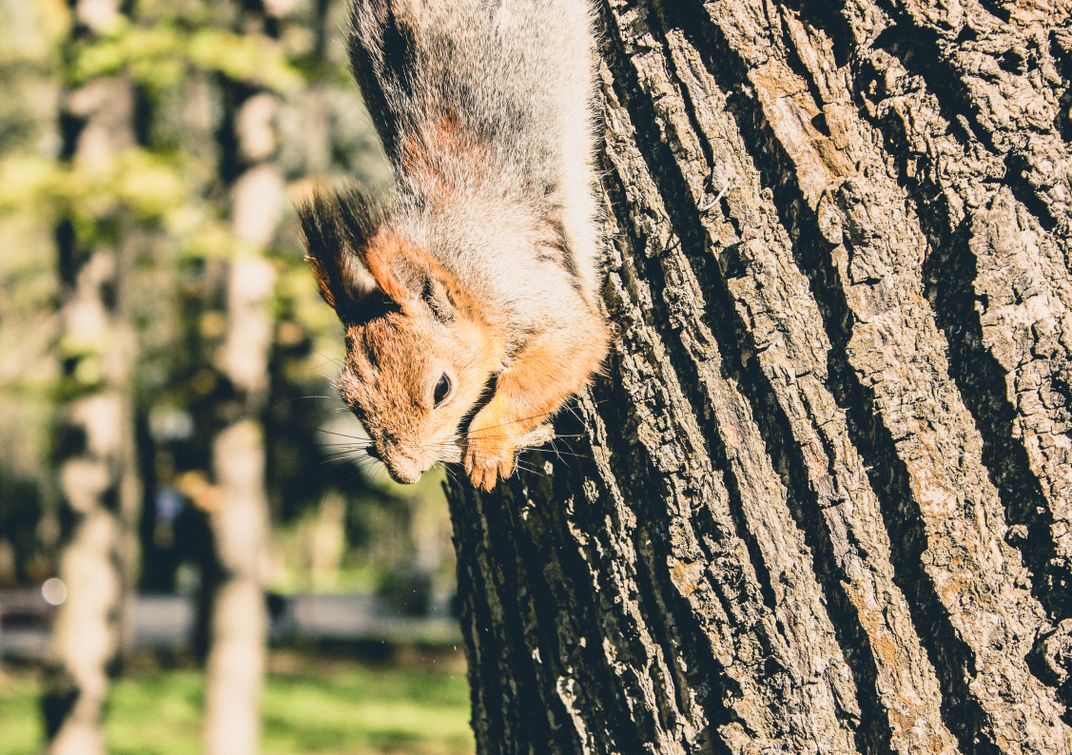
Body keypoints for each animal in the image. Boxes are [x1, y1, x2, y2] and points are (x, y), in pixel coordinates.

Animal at [298, 0, 609, 491]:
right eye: (351, 401)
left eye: (441, 389)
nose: (405, 474)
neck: (456, 264)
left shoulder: (530, 290)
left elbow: (568, 350)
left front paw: (486, 449)